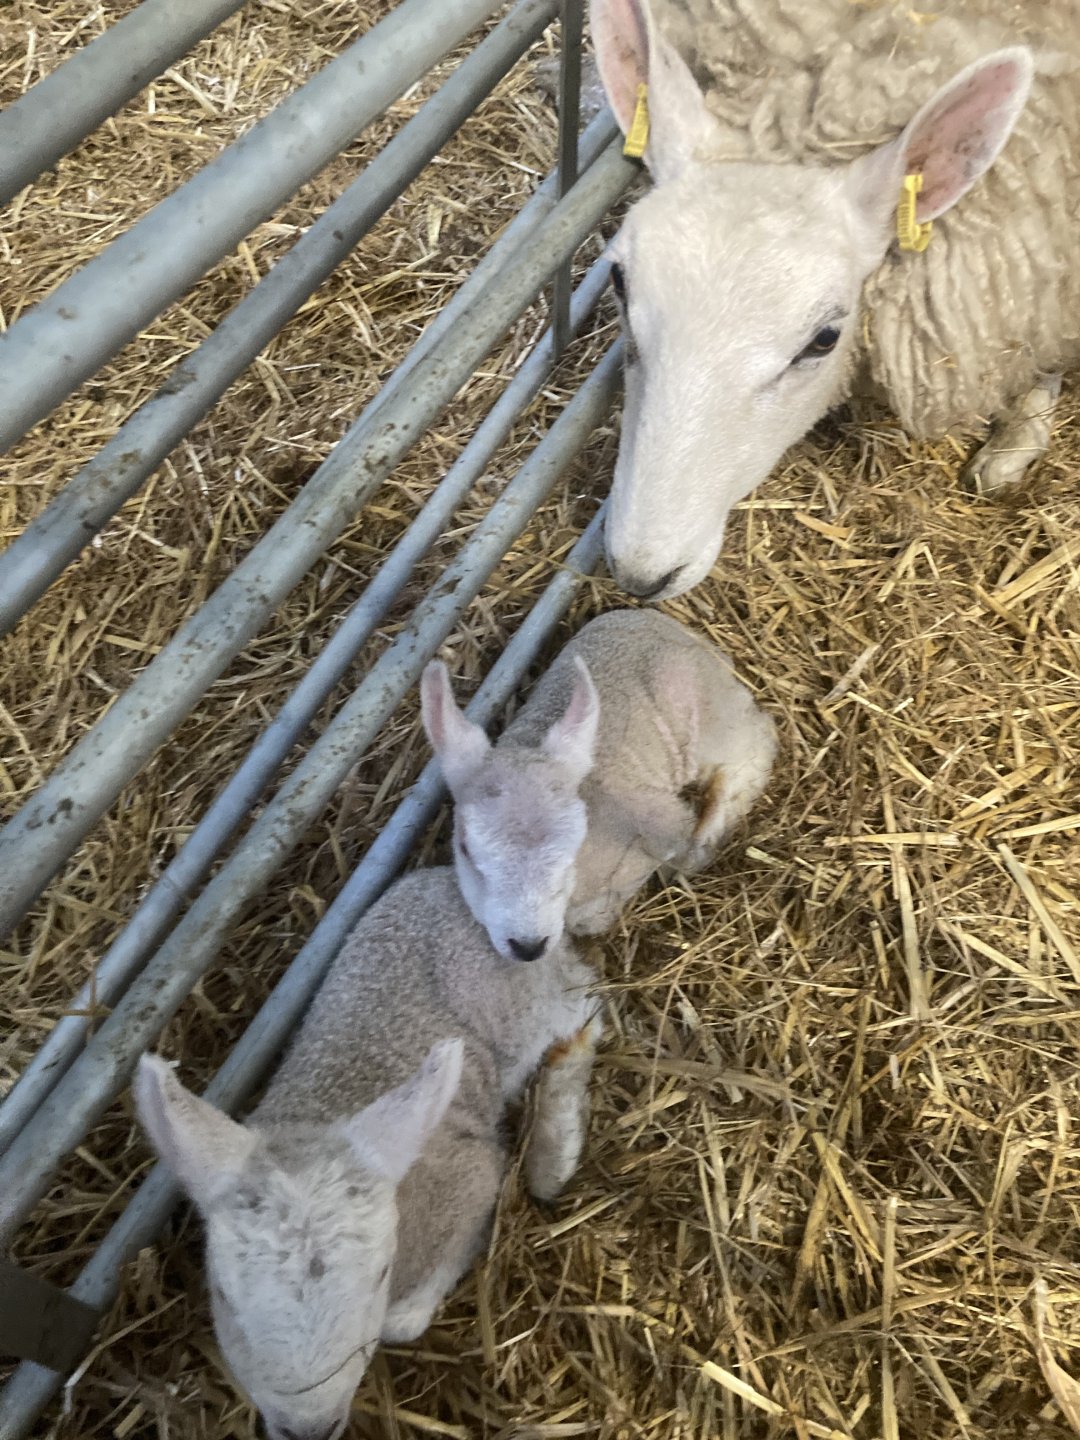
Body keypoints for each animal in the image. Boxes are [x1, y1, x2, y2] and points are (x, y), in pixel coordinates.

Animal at [135, 868, 598, 1440]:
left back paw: (553, 1155)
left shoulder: (472, 1177)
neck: (317, 1112)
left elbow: (405, 1318)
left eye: (380, 1276)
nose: (309, 1430)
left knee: (583, 1012)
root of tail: (447, 881)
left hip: (536, 998)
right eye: (223, 1295)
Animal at [421, 608, 777, 955]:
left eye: (574, 845)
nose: (528, 947)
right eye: (465, 850)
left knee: (755, 746)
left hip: (714, 716)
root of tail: (673, 626)